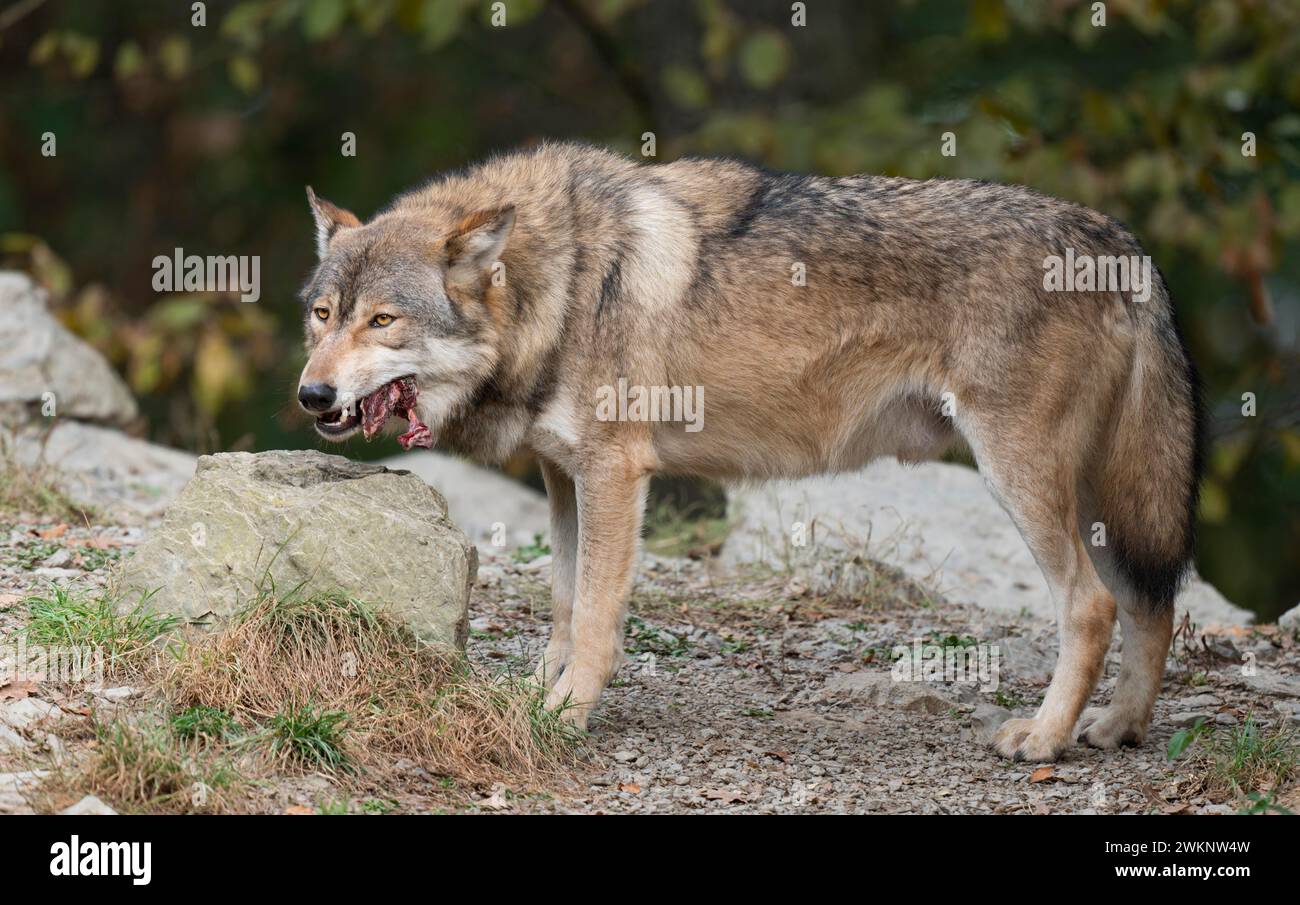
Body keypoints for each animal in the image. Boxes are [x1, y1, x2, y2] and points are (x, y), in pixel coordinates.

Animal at [297, 141, 1203, 762]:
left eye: (383, 321)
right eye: (323, 314)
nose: (311, 394)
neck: (558, 285)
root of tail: (1119, 241)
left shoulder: (615, 474)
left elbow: (594, 617)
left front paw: (566, 714)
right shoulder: (563, 476)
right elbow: (560, 604)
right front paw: (534, 699)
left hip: (1021, 477)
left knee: (1092, 604)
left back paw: (1045, 737)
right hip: (1102, 498)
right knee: (1152, 600)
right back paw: (1116, 727)